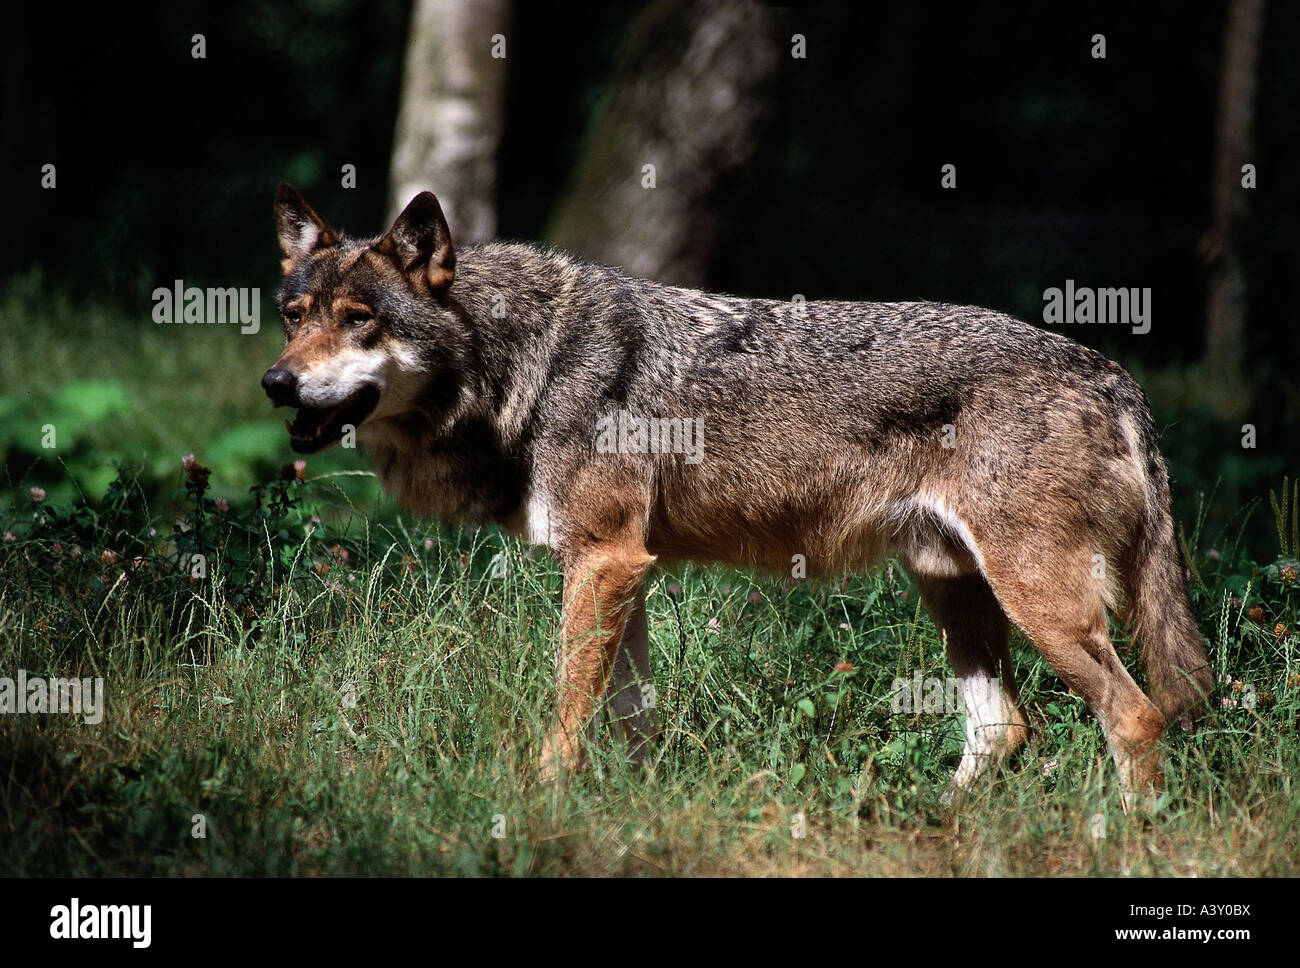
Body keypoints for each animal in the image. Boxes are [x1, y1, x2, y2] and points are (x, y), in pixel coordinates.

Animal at [263, 183, 1212, 809]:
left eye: (360, 321)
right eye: (294, 316)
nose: (276, 383)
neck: (523, 365)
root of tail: (1111, 372)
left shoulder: (604, 560)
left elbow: (568, 711)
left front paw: (540, 804)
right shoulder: (627, 569)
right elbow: (630, 718)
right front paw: (632, 811)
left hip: (1037, 603)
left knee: (1137, 719)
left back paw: (1120, 840)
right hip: (956, 594)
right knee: (1005, 727)